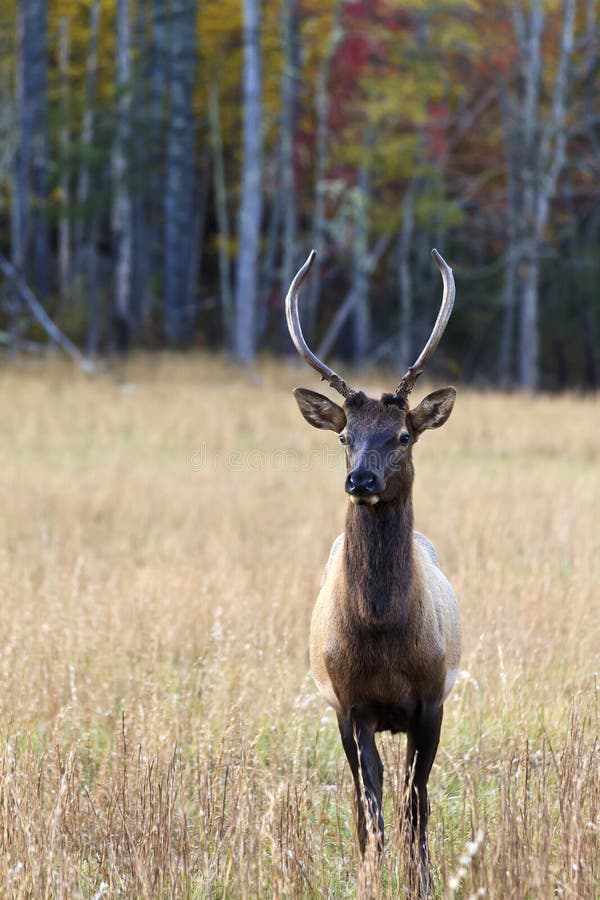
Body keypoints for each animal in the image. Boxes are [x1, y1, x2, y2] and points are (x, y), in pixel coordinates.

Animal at [285, 248, 461, 889]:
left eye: (404, 434)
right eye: (344, 436)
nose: (360, 479)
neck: (384, 634)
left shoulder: (431, 699)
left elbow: (417, 801)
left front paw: (421, 880)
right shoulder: (347, 703)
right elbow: (371, 803)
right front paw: (368, 879)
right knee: (364, 799)